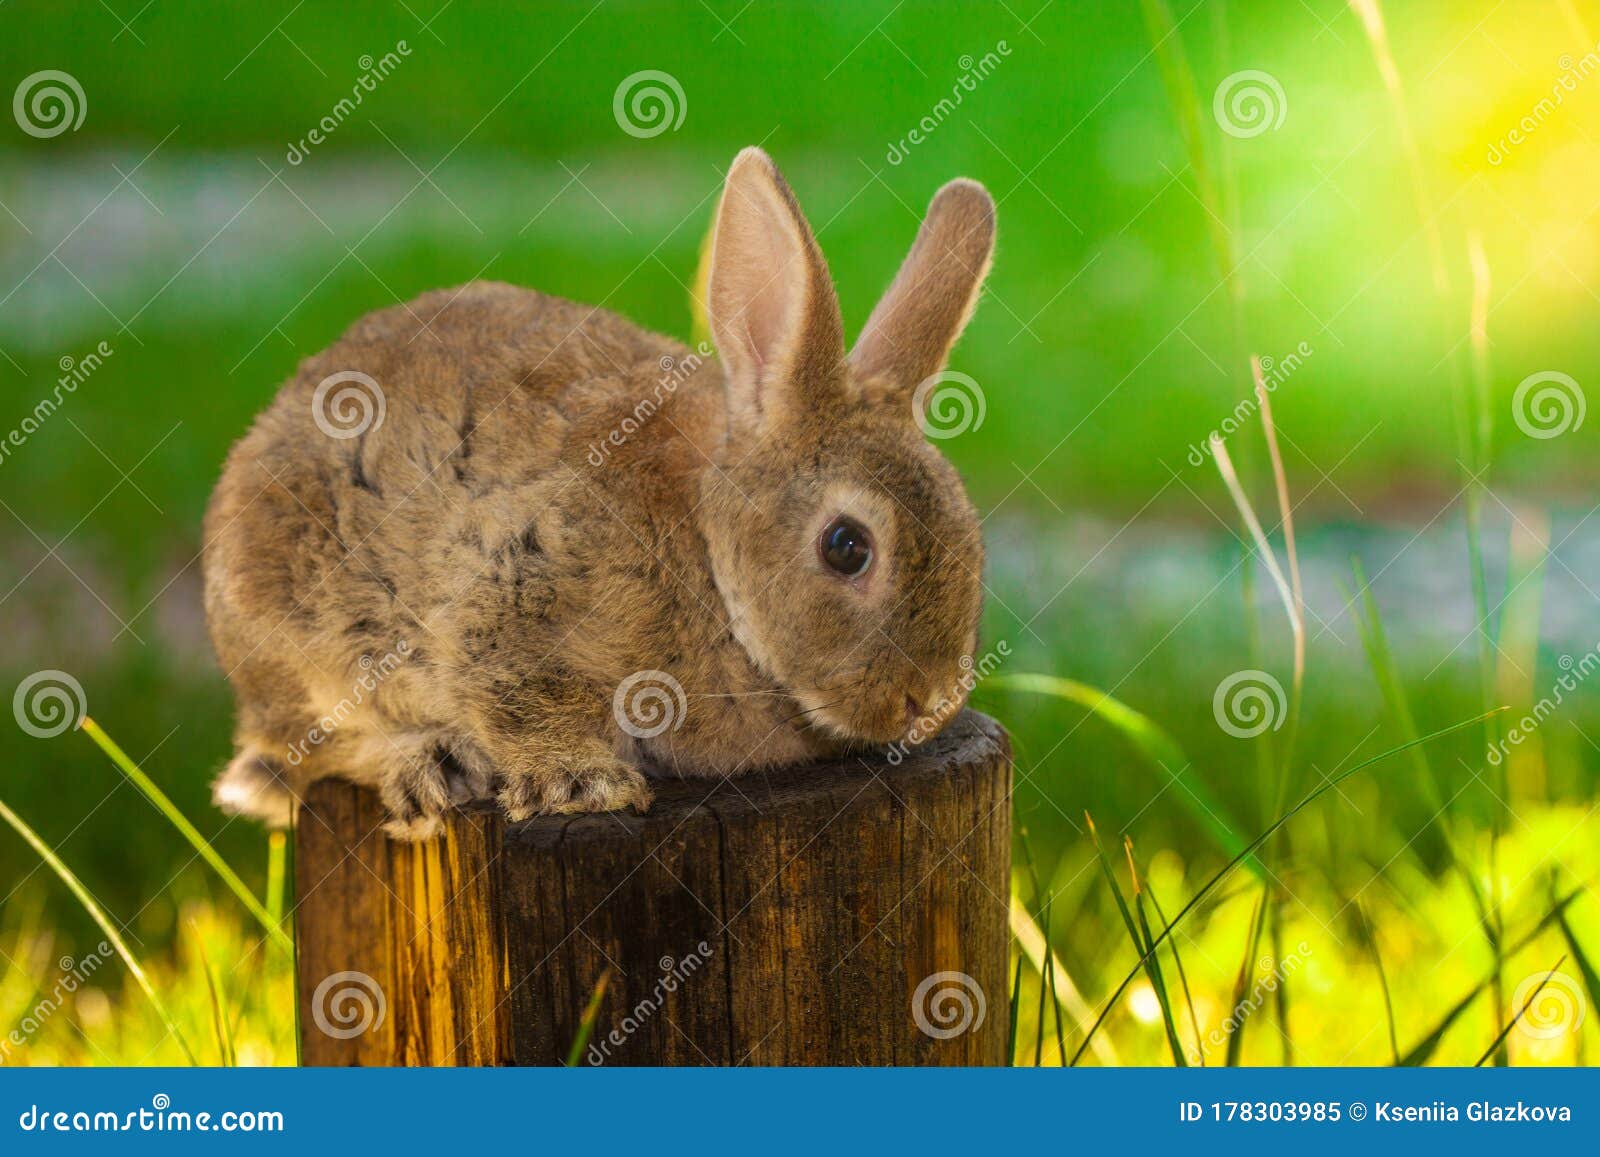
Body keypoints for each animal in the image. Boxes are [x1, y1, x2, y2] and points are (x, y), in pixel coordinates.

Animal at [202, 147, 996, 839]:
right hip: (297, 639)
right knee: (320, 748)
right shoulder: (511, 581)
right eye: (846, 547)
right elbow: (518, 690)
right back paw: (428, 767)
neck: (708, 553)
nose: (925, 702)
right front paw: (582, 785)